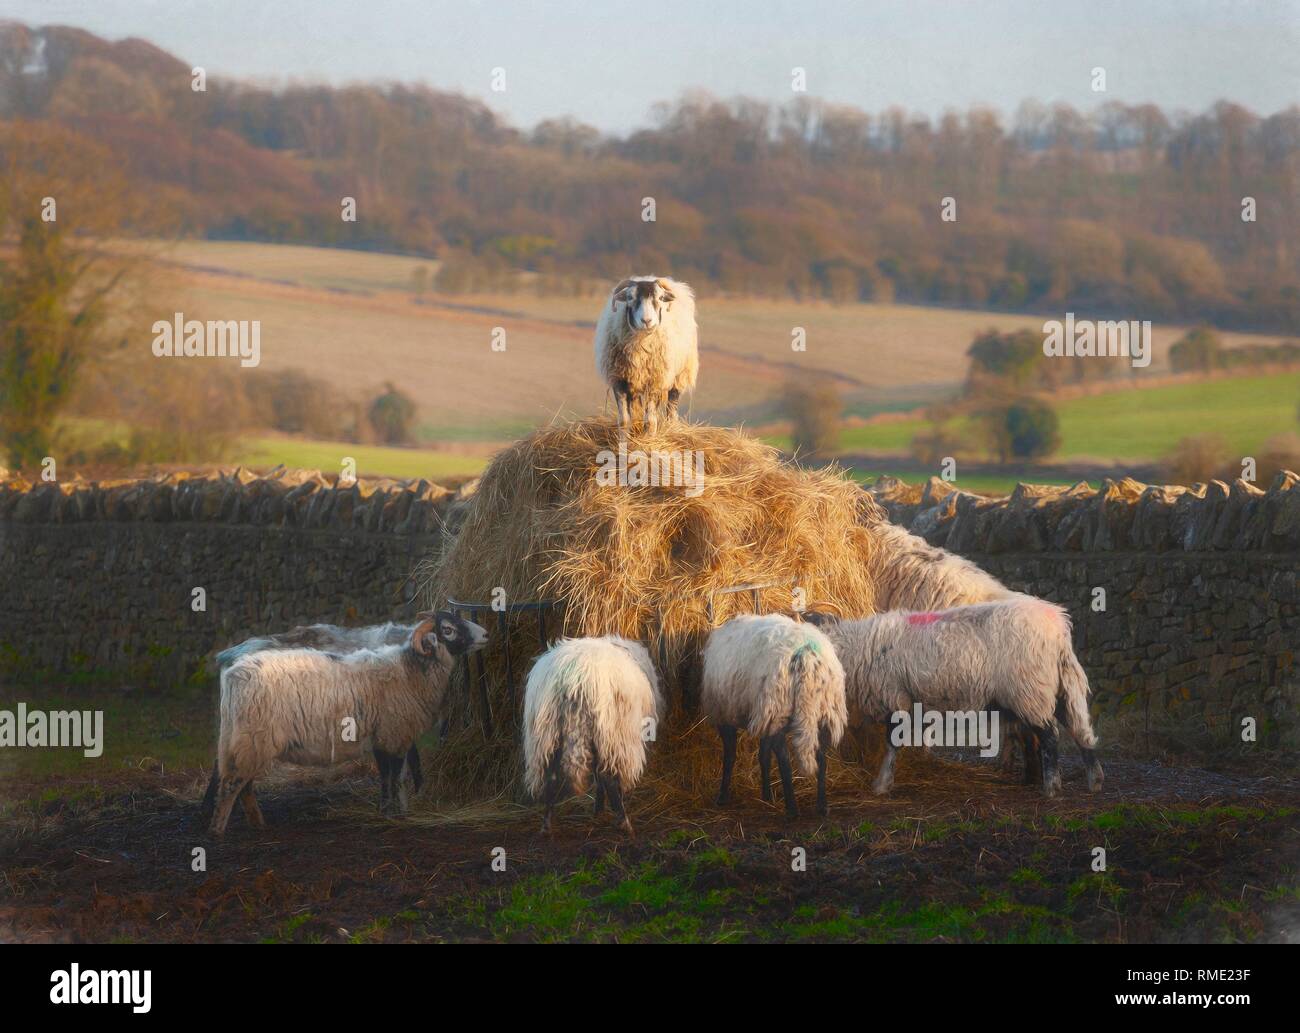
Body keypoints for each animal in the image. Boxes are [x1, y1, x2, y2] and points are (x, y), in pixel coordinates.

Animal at [203, 611, 487, 835]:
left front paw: (386, 811)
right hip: (252, 738)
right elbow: (395, 776)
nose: (485, 634)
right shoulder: (395, 733)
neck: (411, 669)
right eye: (447, 629)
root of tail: (234, 672)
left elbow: (386, 777)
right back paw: (217, 829)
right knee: (231, 784)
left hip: (245, 740)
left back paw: (257, 823)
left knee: (243, 785)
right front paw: (396, 814)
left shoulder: (381, 736)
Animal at [522, 636, 664, 836]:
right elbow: (605, 778)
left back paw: (546, 826)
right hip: (611, 734)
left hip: (546, 735)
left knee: (551, 778)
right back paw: (624, 823)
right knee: (610, 777)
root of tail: (574, 680)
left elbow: (598, 778)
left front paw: (598, 809)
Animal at [594, 276, 698, 432]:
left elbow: (650, 422)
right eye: (630, 297)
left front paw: (650, 437)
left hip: (681, 375)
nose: (647, 321)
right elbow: (624, 421)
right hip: (636, 382)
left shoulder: (655, 381)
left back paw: (671, 427)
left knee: (671, 409)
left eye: (660, 297)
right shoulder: (619, 380)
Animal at [699, 614, 848, 818]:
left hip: (778, 706)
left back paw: (792, 809)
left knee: (784, 759)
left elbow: (730, 756)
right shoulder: (764, 717)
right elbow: (763, 755)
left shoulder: (726, 715)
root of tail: (806, 657)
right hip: (822, 711)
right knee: (821, 757)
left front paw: (722, 797)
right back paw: (822, 806)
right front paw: (766, 795)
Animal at [812, 597, 1103, 798]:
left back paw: (1051, 787)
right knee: (1080, 729)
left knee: (1051, 736)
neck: (857, 648)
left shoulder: (896, 696)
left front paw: (882, 784)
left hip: (1030, 689)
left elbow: (892, 743)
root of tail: (1058, 628)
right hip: (1056, 686)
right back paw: (1095, 780)